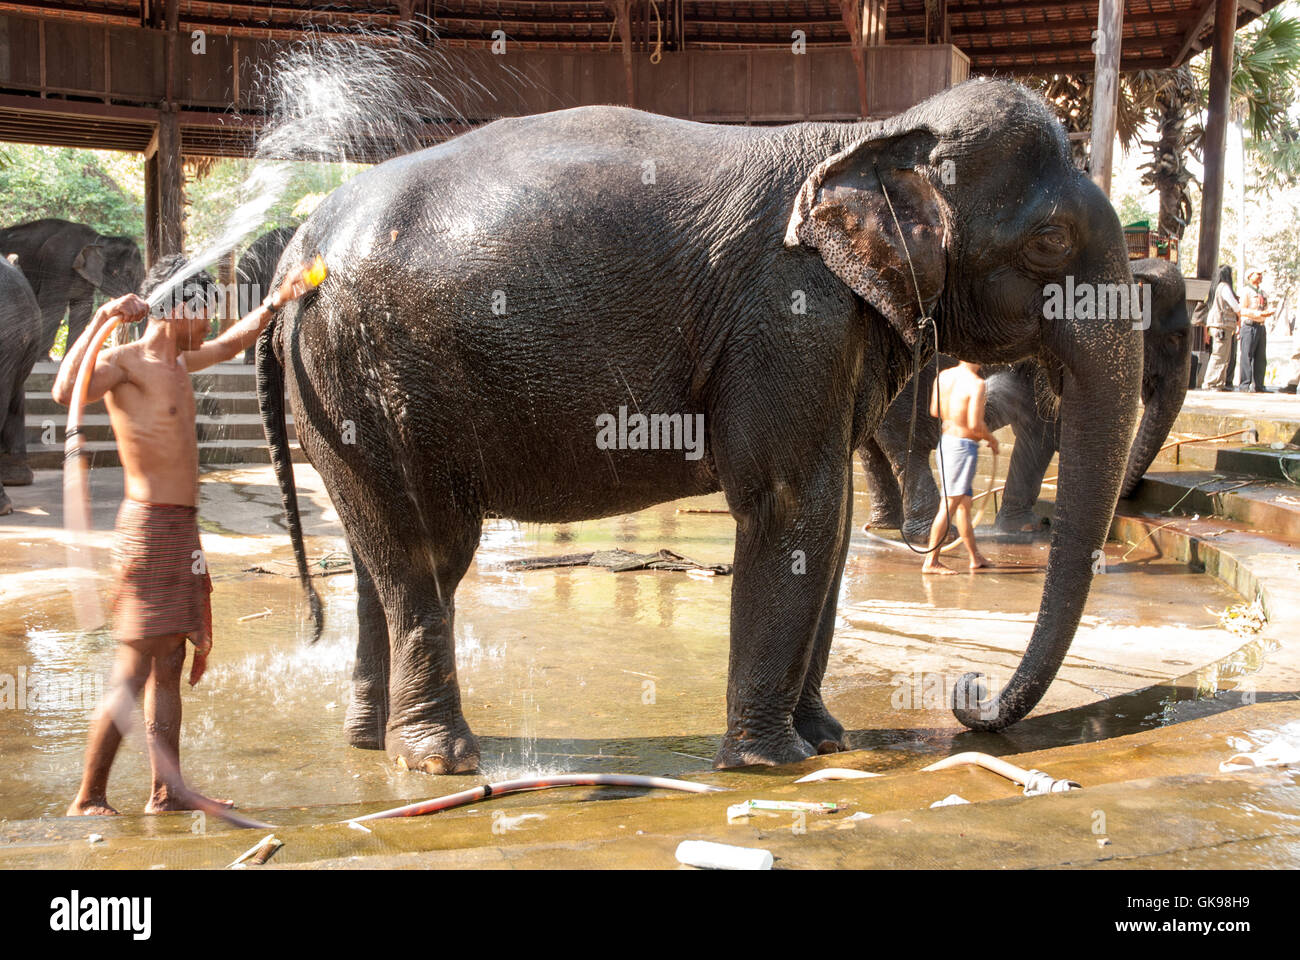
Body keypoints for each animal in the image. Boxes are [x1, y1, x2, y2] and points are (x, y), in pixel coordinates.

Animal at [0, 219, 145, 358]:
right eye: (128, 273)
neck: (96, 240)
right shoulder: (58, 263)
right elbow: (53, 305)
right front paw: (44, 358)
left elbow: (82, 309)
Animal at [256, 78, 1140, 772]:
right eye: (1050, 242)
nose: (968, 698)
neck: (879, 132)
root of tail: (292, 253)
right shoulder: (789, 316)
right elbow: (792, 504)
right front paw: (772, 761)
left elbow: (832, 524)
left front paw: (827, 740)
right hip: (368, 376)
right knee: (428, 552)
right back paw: (441, 760)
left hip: (341, 397)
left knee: (377, 553)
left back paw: (368, 742)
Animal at [862, 258, 1189, 538]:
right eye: (1175, 339)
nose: (1126, 504)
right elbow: (1042, 431)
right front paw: (1028, 527)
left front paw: (1022, 527)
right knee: (909, 443)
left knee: (873, 447)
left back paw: (883, 527)